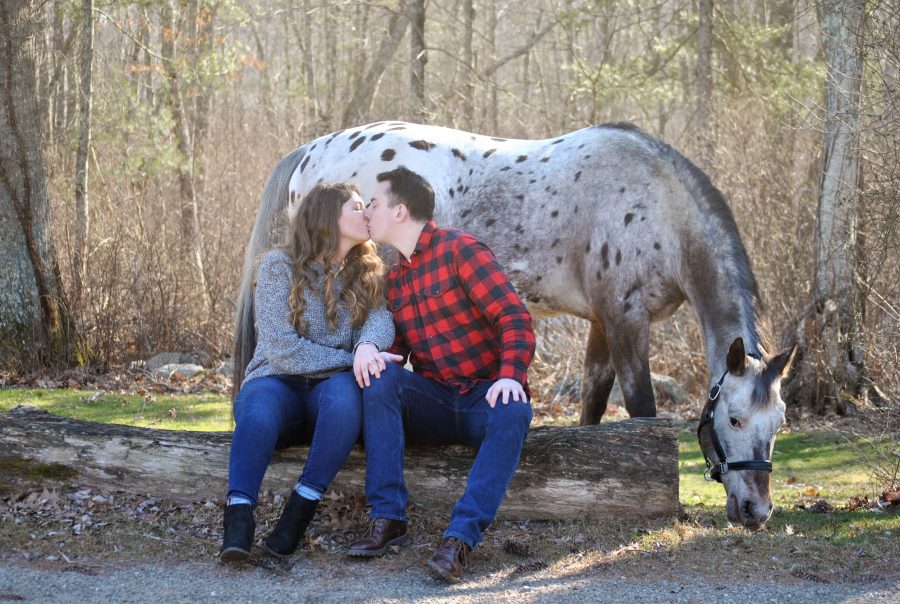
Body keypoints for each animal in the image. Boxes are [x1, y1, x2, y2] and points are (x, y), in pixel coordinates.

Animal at [233, 121, 795, 530]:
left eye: (778, 425)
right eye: (734, 420)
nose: (757, 512)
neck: (656, 205)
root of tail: (312, 149)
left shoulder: (601, 322)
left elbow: (593, 403)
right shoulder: (625, 319)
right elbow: (641, 407)